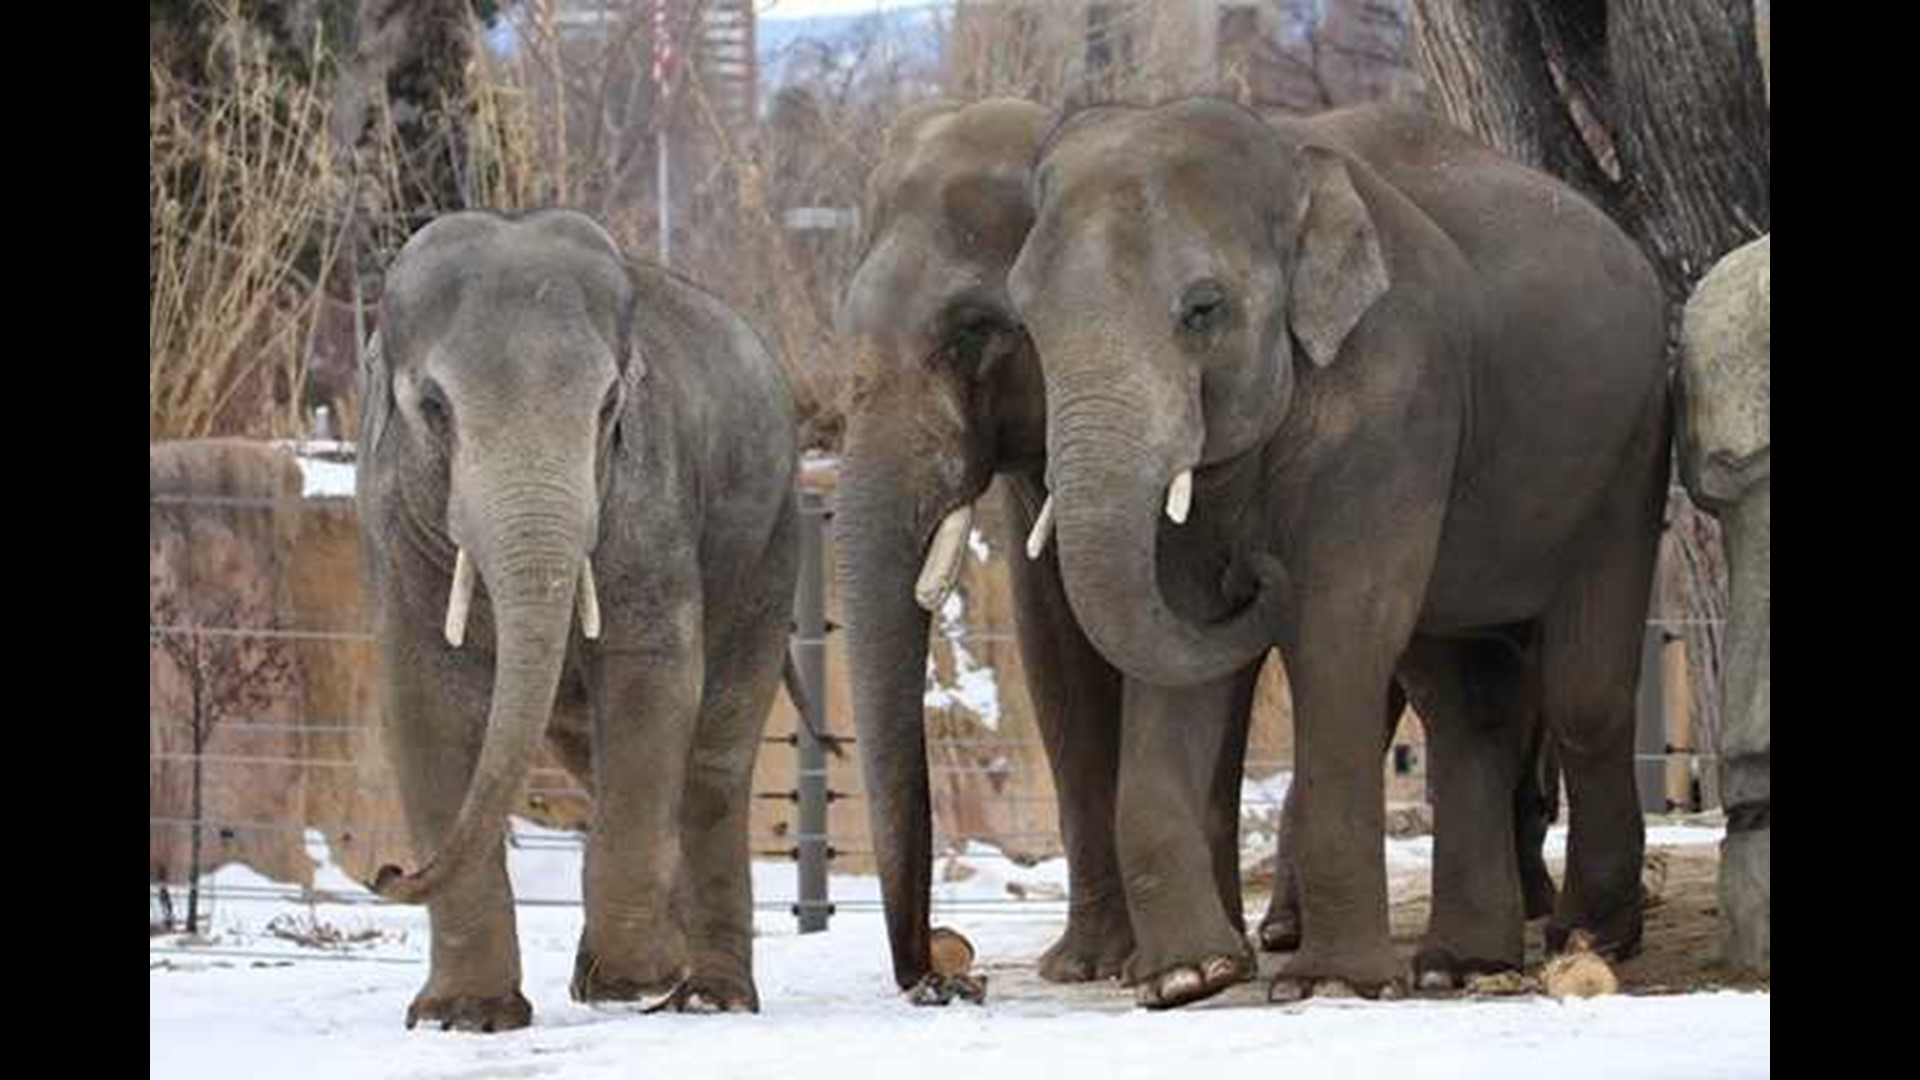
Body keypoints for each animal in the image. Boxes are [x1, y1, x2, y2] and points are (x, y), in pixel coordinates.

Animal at [356, 209, 800, 1030]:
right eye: (434, 407)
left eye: (608, 408)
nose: (389, 870)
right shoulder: (393, 527)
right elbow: (425, 697)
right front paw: (462, 1015)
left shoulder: (650, 497)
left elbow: (650, 675)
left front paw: (631, 977)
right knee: (591, 752)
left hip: (770, 548)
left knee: (712, 760)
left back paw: (702, 994)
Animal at [1006, 99, 1670, 1006]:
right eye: (1027, 323)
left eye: (1203, 310)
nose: (1258, 572)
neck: (1286, 161)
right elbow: (1174, 650)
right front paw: (1189, 978)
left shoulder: (1395, 396)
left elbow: (1341, 630)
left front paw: (1330, 985)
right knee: (1465, 703)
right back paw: (1460, 964)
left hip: (1628, 447)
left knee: (1583, 691)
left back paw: (1590, 937)